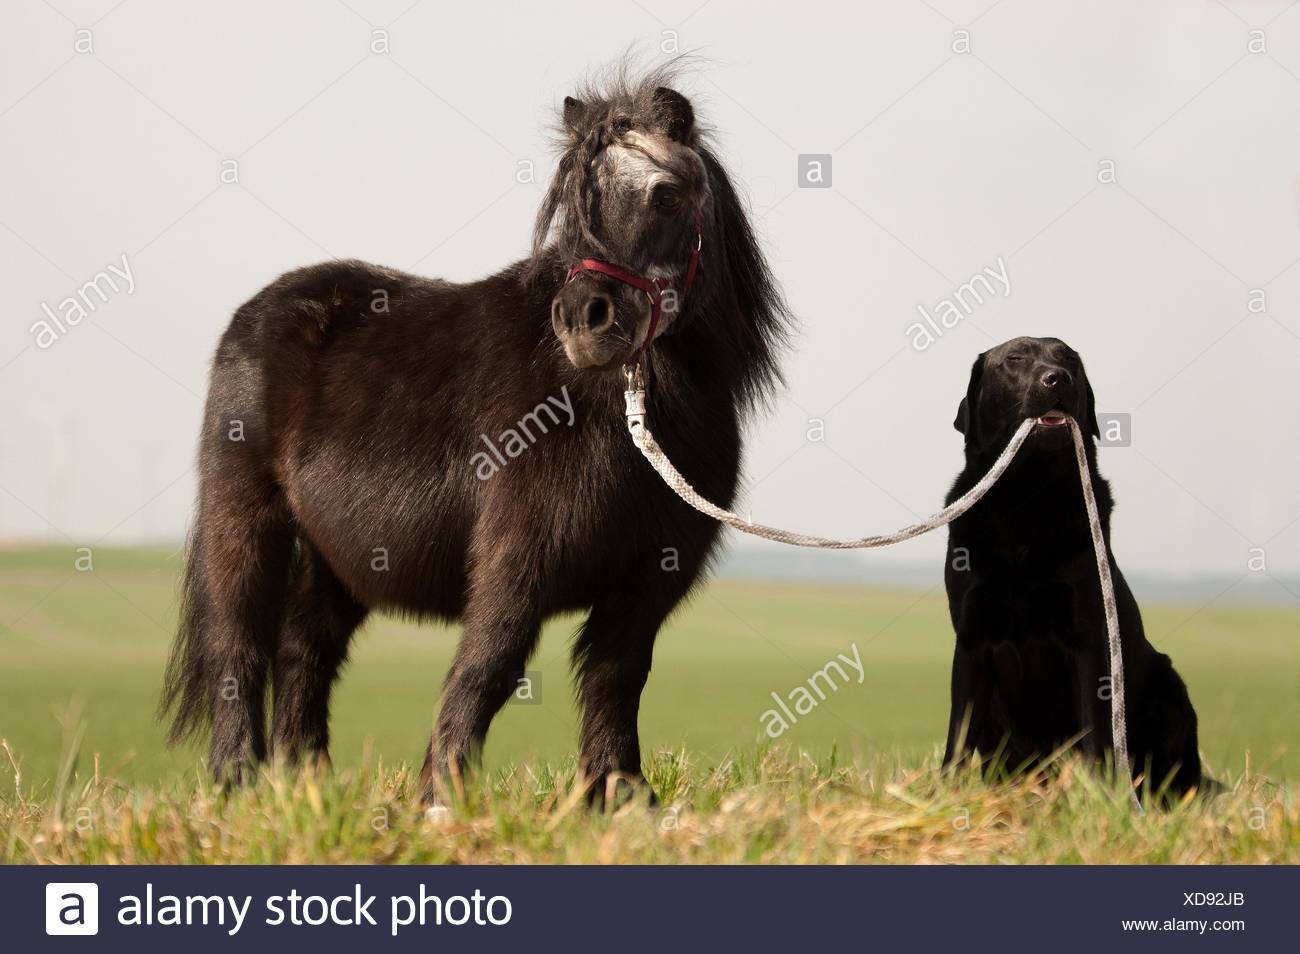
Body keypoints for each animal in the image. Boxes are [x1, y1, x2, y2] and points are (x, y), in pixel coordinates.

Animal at [161, 65, 790, 805]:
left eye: (664, 194)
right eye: (569, 206)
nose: (585, 320)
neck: (620, 414)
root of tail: (256, 312)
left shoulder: (650, 577)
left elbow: (617, 675)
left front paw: (618, 795)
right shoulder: (519, 557)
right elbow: (490, 662)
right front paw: (443, 796)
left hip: (335, 554)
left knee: (304, 650)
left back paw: (307, 788)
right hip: (244, 521)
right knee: (238, 648)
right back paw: (236, 786)